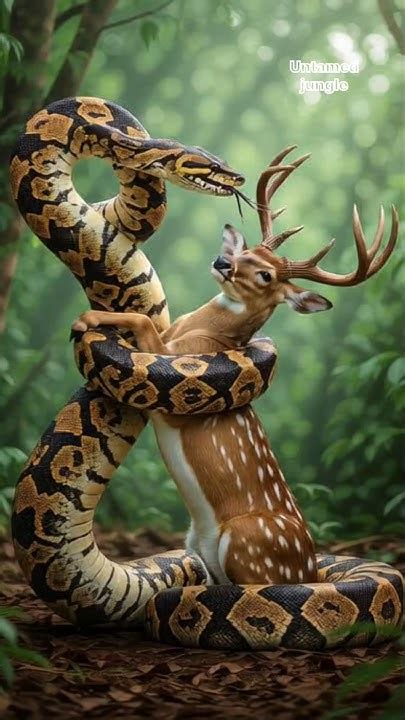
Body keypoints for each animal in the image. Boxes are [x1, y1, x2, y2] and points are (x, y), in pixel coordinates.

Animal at [72, 146, 398, 588]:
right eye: (246, 251)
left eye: (265, 274)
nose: (222, 263)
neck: (203, 336)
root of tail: (308, 571)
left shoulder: (174, 397)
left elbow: (141, 321)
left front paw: (86, 320)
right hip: (198, 548)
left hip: (246, 545)